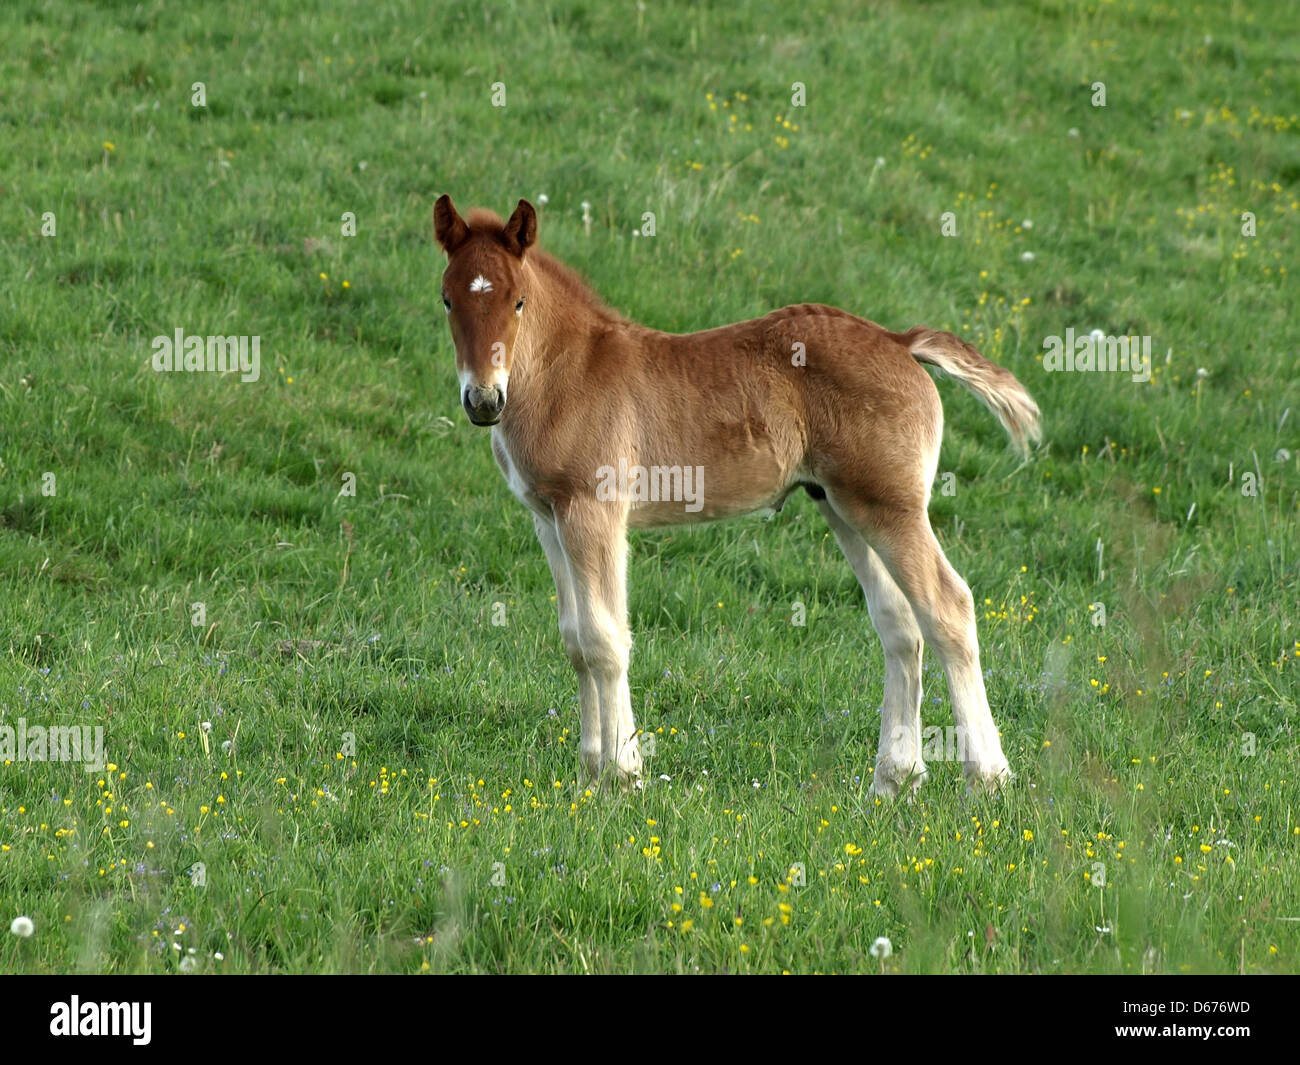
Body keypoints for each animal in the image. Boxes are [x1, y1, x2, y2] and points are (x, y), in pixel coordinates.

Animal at [433, 195, 1041, 797]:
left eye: (518, 301)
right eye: (446, 299)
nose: (483, 400)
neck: (568, 372)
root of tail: (900, 342)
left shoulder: (592, 512)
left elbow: (605, 640)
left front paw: (624, 777)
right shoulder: (548, 518)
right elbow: (575, 642)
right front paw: (589, 776)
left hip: (892, 506)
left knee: (947, 607)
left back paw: (987, 777)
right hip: (844, 505)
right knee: (898, 623)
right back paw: (893, 782)